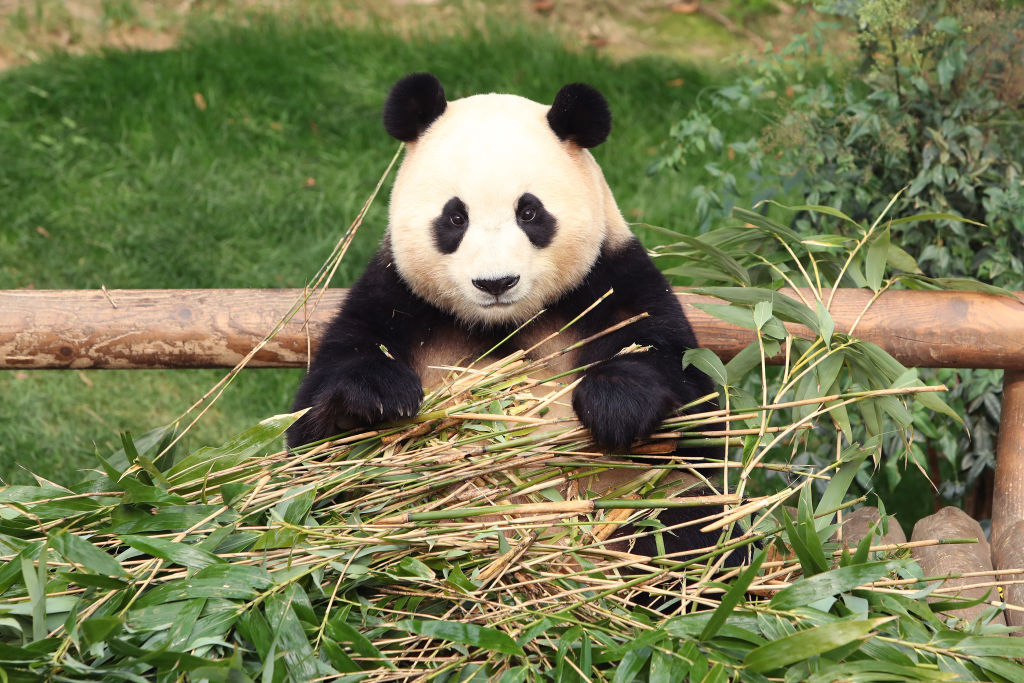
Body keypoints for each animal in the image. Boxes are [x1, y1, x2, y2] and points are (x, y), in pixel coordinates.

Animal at [288, 73, 740, 570]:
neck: (504, 326)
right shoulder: (394, 295)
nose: (495, 283)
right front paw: (379, 397)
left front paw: (616, 403)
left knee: (685, 525)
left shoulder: (615, 280)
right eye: (455, 217)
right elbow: (314, 434)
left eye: (529, 212)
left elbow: (686, 393)